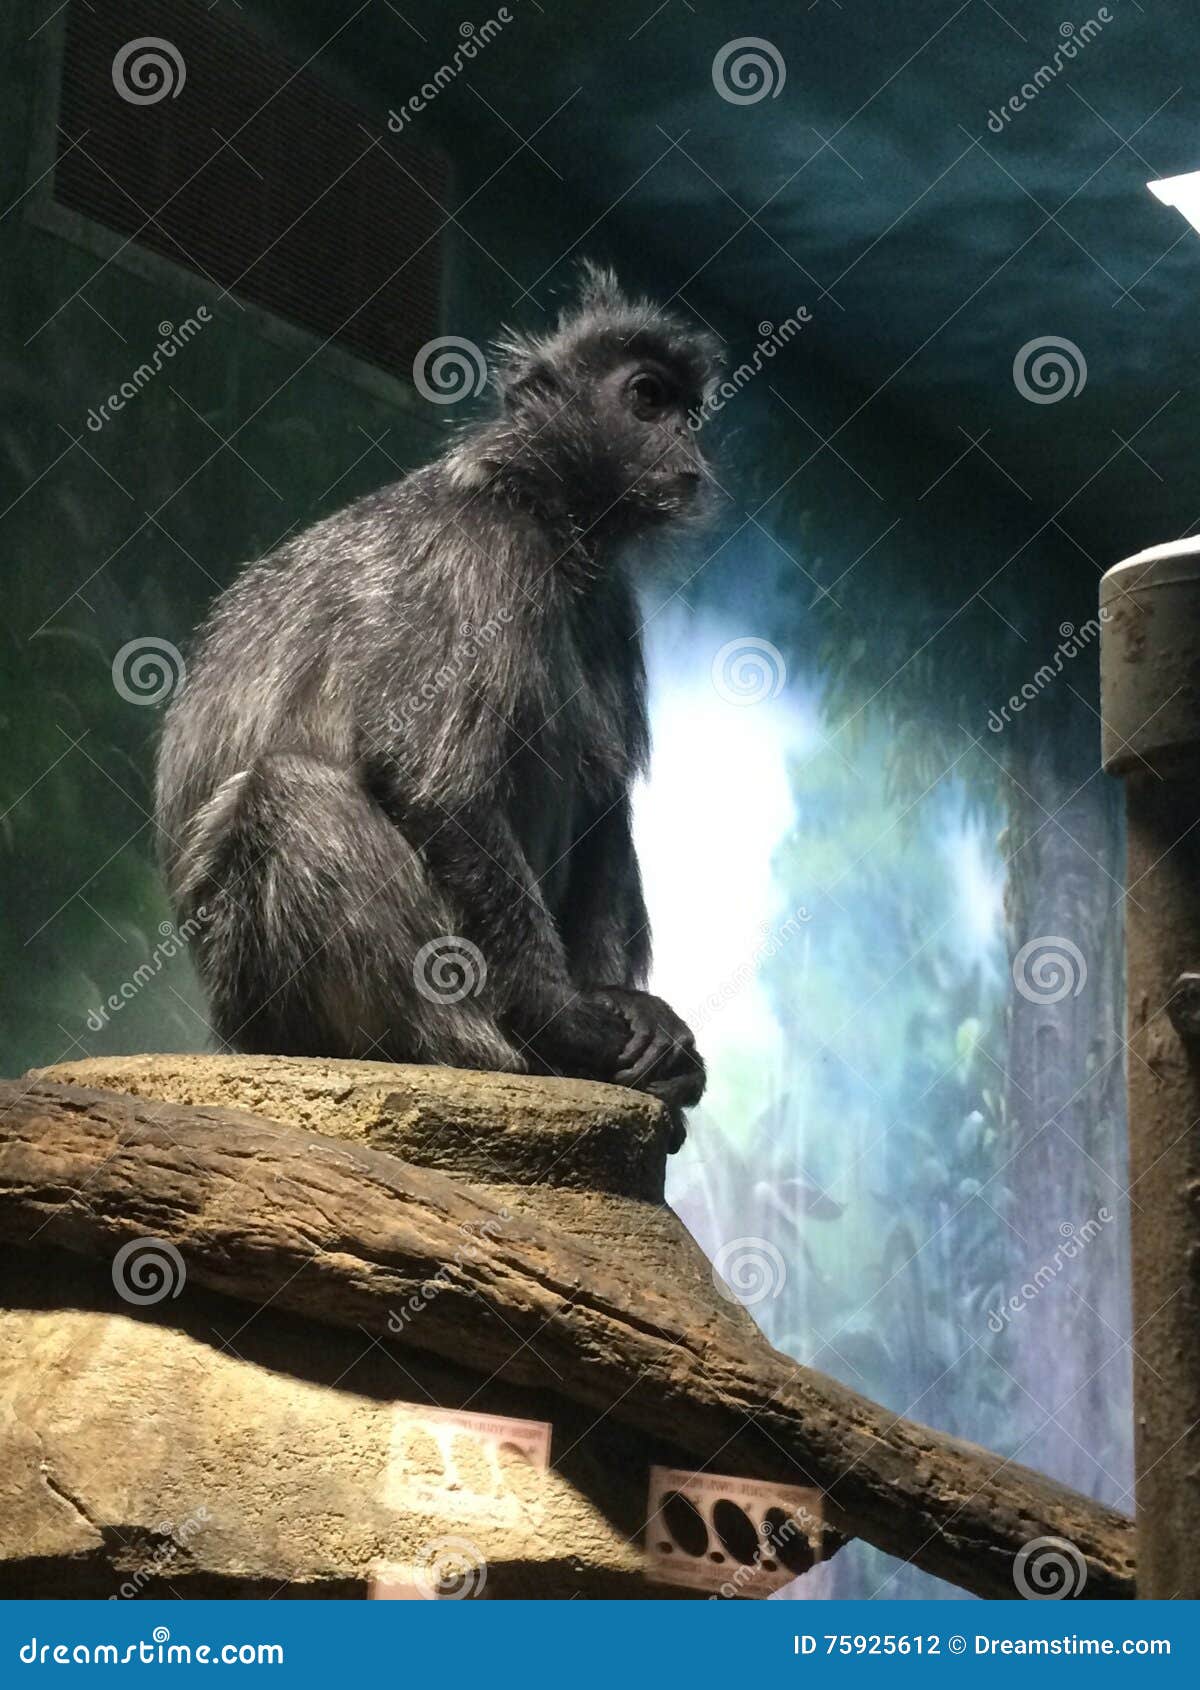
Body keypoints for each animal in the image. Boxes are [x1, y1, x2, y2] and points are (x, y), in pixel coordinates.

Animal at [155, 264, 723, 1149]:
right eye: (645, 398)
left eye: (688, 412)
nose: (689, 453)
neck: (537, 511)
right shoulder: (479, 555)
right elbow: (431, 777)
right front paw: (569, 1020)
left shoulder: (607, 604)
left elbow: (602, 796)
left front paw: (623, 1010)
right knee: (287, 796)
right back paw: (493, 1053)